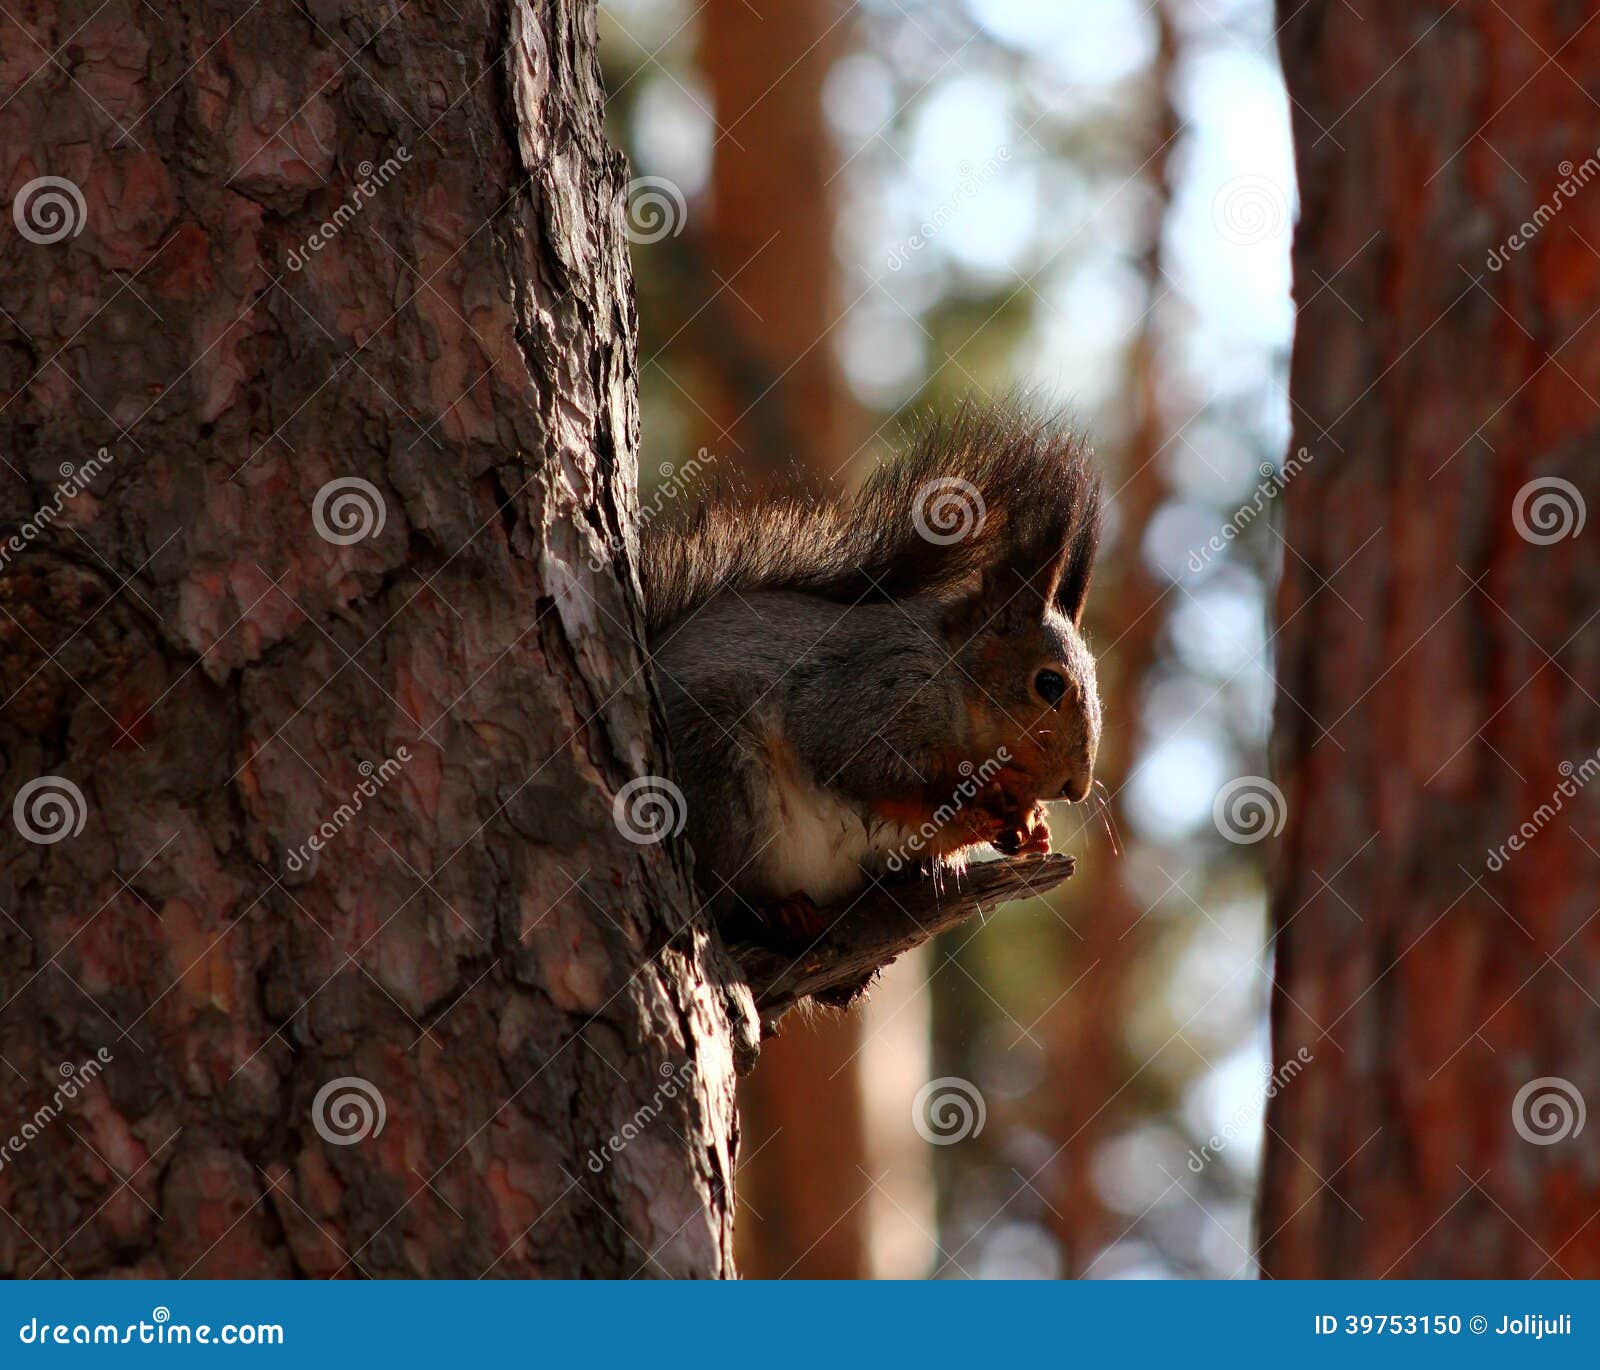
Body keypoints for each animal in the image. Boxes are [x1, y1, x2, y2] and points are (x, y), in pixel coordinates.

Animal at [640, 400, 1102, 947]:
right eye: (1049, 684)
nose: (1077, 788)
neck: (953, 678)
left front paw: (1032, 827)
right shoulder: (870, 692)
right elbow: (876, 774)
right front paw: (981, 800)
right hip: (716, 769)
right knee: (723, 895)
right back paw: (774, 912)